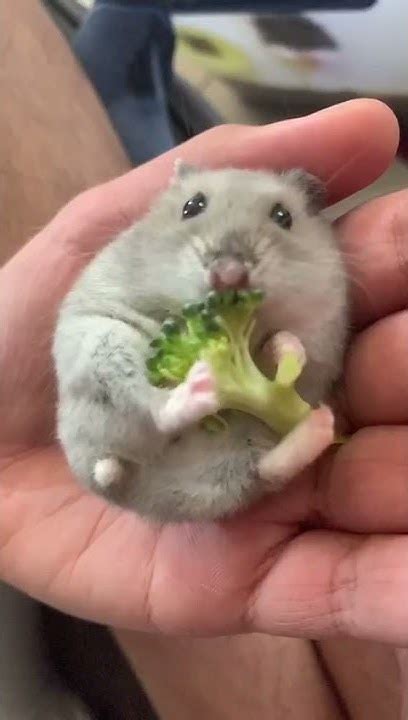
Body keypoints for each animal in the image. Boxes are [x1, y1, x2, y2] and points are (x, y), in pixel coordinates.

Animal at [52, 164, 349, 523]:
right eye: (191, 206)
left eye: (283, 216)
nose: (229, 273)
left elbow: (279, 351)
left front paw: (285, 344)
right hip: (104, 346)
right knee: (156, 409)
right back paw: (202, 384)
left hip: (241, 455)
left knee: (268, 469)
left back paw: (319, 422)